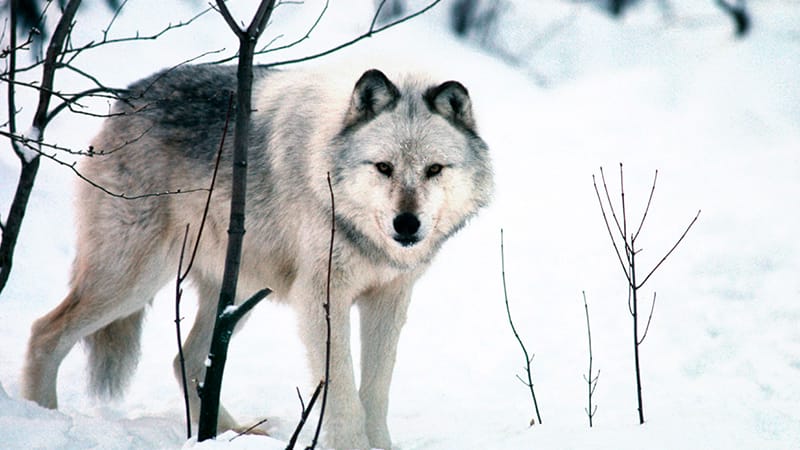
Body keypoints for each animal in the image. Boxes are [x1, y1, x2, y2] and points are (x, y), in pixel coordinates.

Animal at [21, 63, 492, 449]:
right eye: (383, 168)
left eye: (434, 170)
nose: (406, 224)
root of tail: (127, 97)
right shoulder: (320, 298)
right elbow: (342, 391)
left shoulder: (389, 298)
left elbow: (376, 390)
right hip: (132, 282)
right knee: (45, 332)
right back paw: (41, 417)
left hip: (236, 294)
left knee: (187, 359)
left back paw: (232, 434)